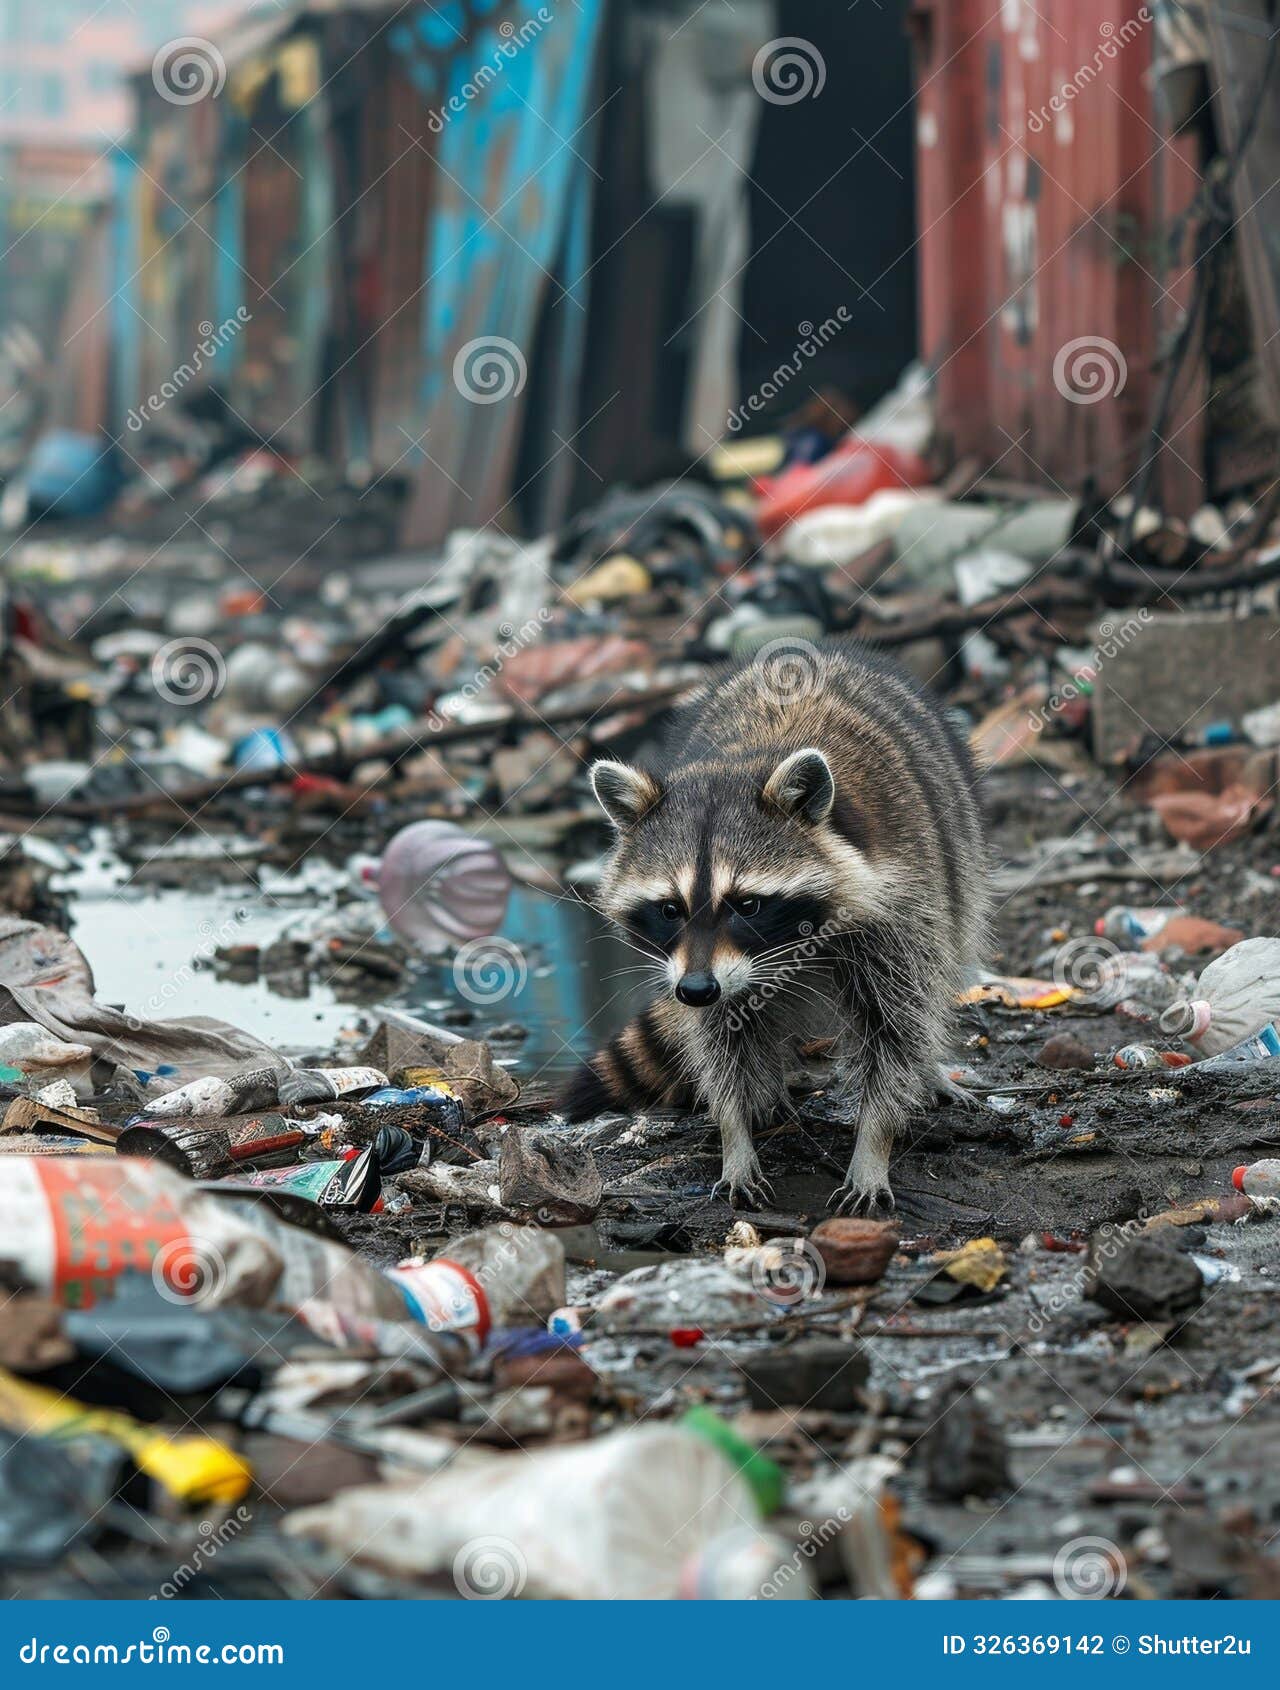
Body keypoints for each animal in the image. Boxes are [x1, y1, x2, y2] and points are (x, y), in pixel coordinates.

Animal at [562, 640, 990, 1213]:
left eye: (747, 904)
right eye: (671, 908)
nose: (695, 990)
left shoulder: (905, 903)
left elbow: (896, 1026)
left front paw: (875, 1139)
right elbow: (721, 1039)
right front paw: (734, 1132)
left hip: (957, 845)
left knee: (941, 968)